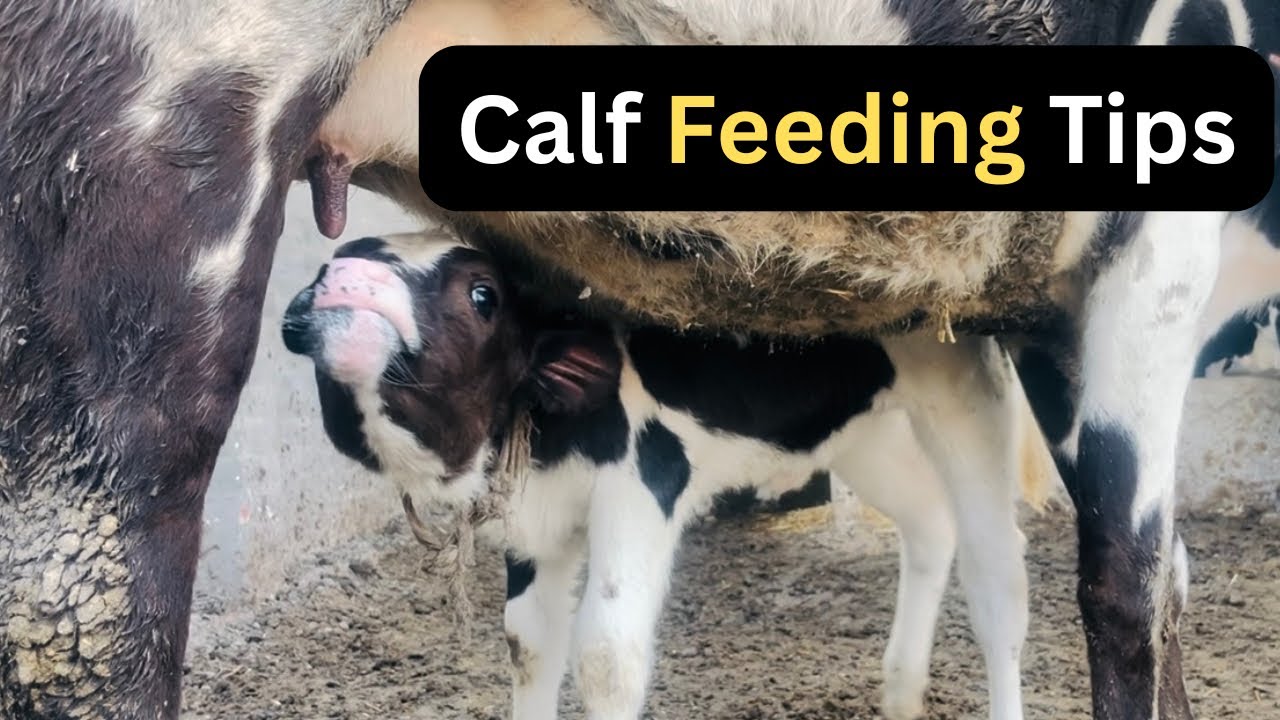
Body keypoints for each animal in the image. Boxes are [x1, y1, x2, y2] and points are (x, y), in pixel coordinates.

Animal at [280, 231, 1058, 720]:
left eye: (482, 295)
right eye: (335, 259)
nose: (348, 284)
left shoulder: (643, 478)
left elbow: (606, 656)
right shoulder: (534, 519)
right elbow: (529, 642)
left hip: (960, 394)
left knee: (998, 579)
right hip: (860, 431)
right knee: (929, 521)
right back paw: (899, 694)